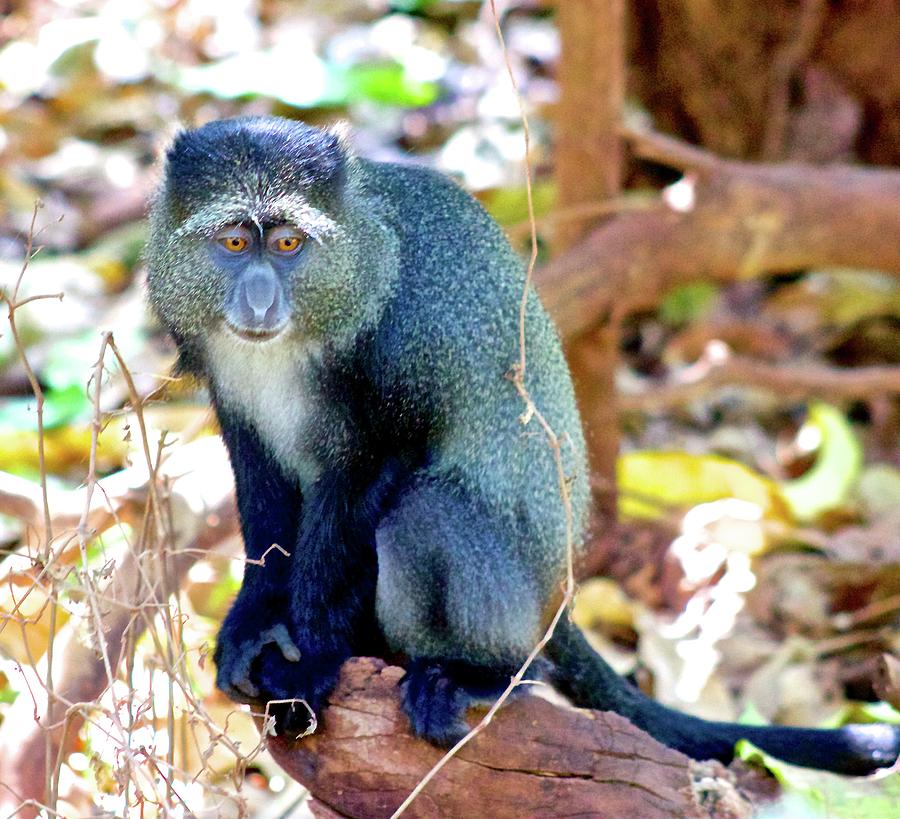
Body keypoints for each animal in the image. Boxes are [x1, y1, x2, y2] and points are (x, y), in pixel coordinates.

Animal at [146, 116, 900, 776]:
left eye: (289, 245)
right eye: (235, 245)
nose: (259, 299)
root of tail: (558, 595)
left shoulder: (397, 361)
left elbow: (376, 474)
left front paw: (312, 653)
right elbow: (263, 493)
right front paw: (253, 622)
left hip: (514, 591)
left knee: (426, 515)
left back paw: (484, 673)